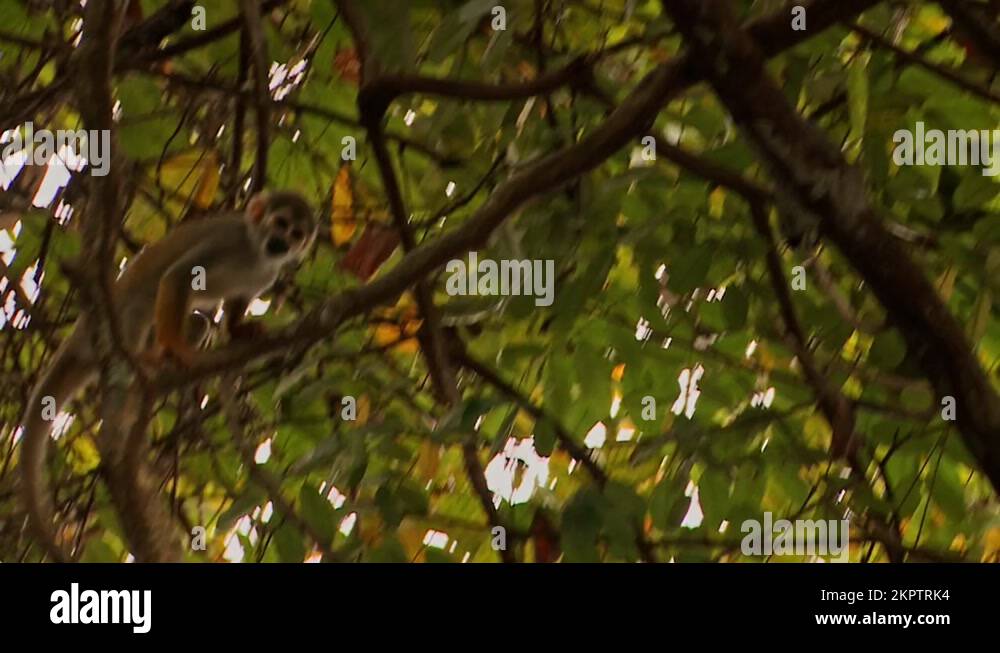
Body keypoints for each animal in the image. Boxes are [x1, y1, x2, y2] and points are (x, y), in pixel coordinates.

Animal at [19, 190, 317, 561]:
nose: (282, 243)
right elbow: (179, 277)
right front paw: (177, 348)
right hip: (112, 320)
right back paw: (147, 357)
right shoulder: (227, 239)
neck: (256, 252)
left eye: (296, 234)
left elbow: (235, 299)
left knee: (197, 321)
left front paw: (240, 330)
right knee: (142, 305)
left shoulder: (267, 276)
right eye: (280, 223)